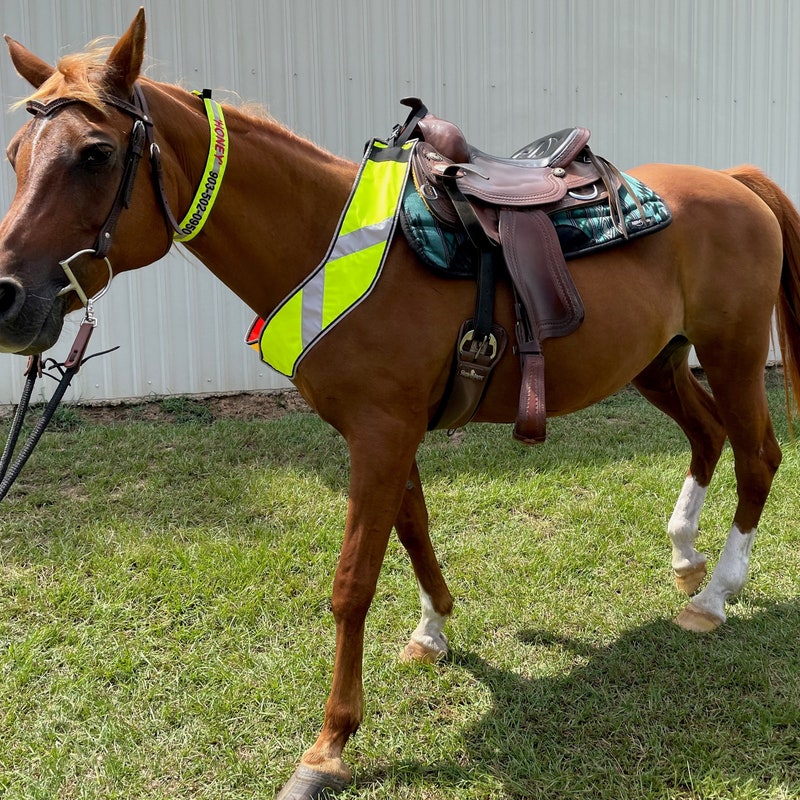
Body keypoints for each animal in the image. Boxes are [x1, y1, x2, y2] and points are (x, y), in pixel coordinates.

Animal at [2, 10, 800, 798]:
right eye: (15, 152)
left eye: (97, 154)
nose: (8, 299)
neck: (325, 245)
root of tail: (734, 183)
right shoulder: (392, 431)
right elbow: (413, 531)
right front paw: (433, 630)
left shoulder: (380, 434)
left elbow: (353, 582)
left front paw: (328, 746)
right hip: (658, 362)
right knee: (707, 438)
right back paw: (686, 557)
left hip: (731, 355)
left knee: (759, 456)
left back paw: (714, 596)